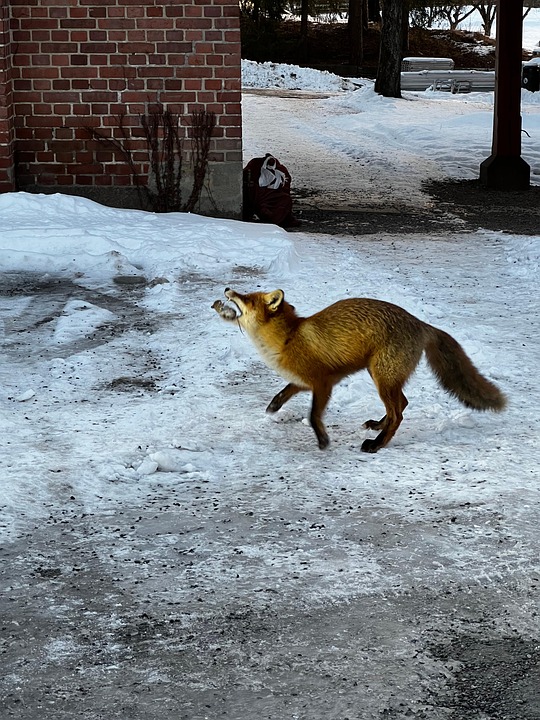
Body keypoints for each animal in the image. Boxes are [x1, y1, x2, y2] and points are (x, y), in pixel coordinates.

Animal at [212, 288, 506, 453]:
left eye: (246, 298)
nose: (227, 288)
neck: (287, 338)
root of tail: (421, 323)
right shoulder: (303, 381)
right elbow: (284, 392)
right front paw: (273, 407)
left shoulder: (323, 383)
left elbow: (313, 414)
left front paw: (322, 440)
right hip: (381, 376)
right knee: (402, 404)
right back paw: (378, 426)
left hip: (381, 377)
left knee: (398, 413)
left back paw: (377, 444)